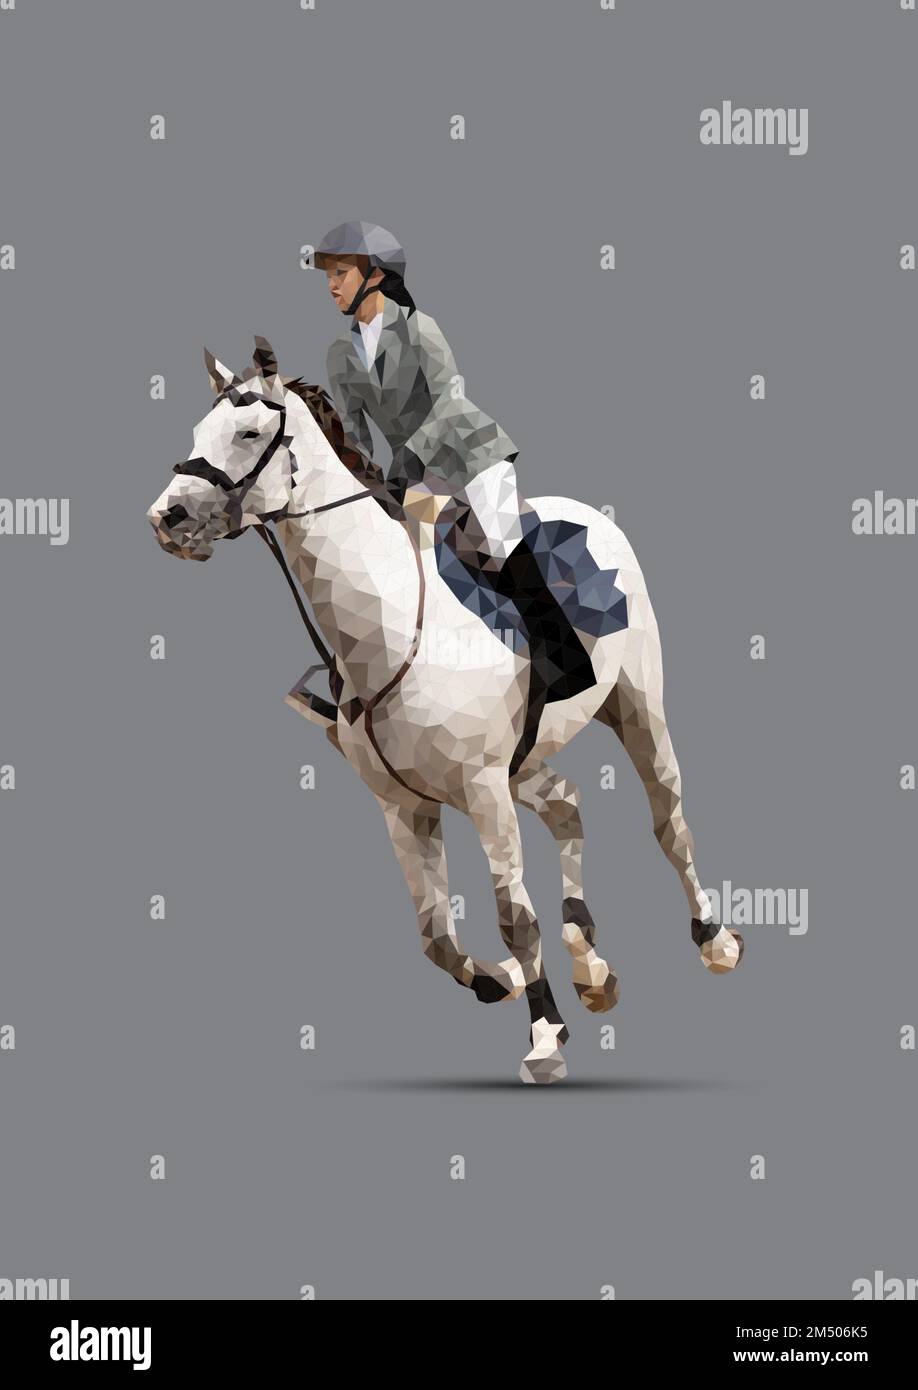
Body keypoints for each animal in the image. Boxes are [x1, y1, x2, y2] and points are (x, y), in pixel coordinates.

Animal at [147, 336, 743, 1084]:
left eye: (250, 433)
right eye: (200, 431)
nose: (166, 520)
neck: (392, 627)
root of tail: (588, 512)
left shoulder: (483, 789)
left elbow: (514, 916)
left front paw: (546, 1037)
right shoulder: (405, 805)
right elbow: (434, 935)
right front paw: (501, 981)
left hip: (636, 708)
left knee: (669, 821)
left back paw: (712, 938)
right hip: (526, 762)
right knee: (568, 806)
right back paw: (591, 964)